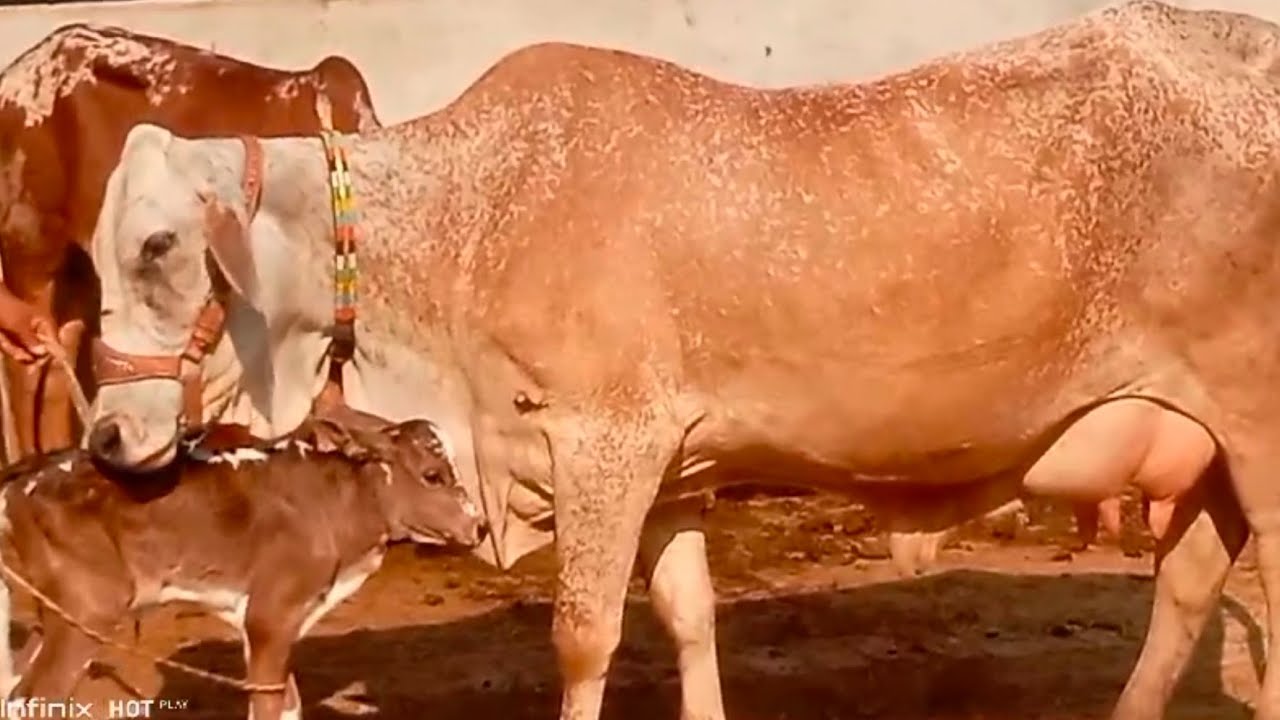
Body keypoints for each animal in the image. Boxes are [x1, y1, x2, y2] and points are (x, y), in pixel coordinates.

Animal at [0, 414, 485, 720]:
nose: (479, 527)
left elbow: (287, 705)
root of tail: (25, 480)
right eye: (433, 475)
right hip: (89, 610)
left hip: (55, 615)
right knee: (38, 700)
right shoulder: (269, 616)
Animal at [79, 1, 1270, 718]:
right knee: (1189, 587)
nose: (106, 435)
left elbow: (582, 635)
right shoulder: (674, 464)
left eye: (157, 246)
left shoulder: (604, 439)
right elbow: (688, 621)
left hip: (1255, 423)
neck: (467, 226)